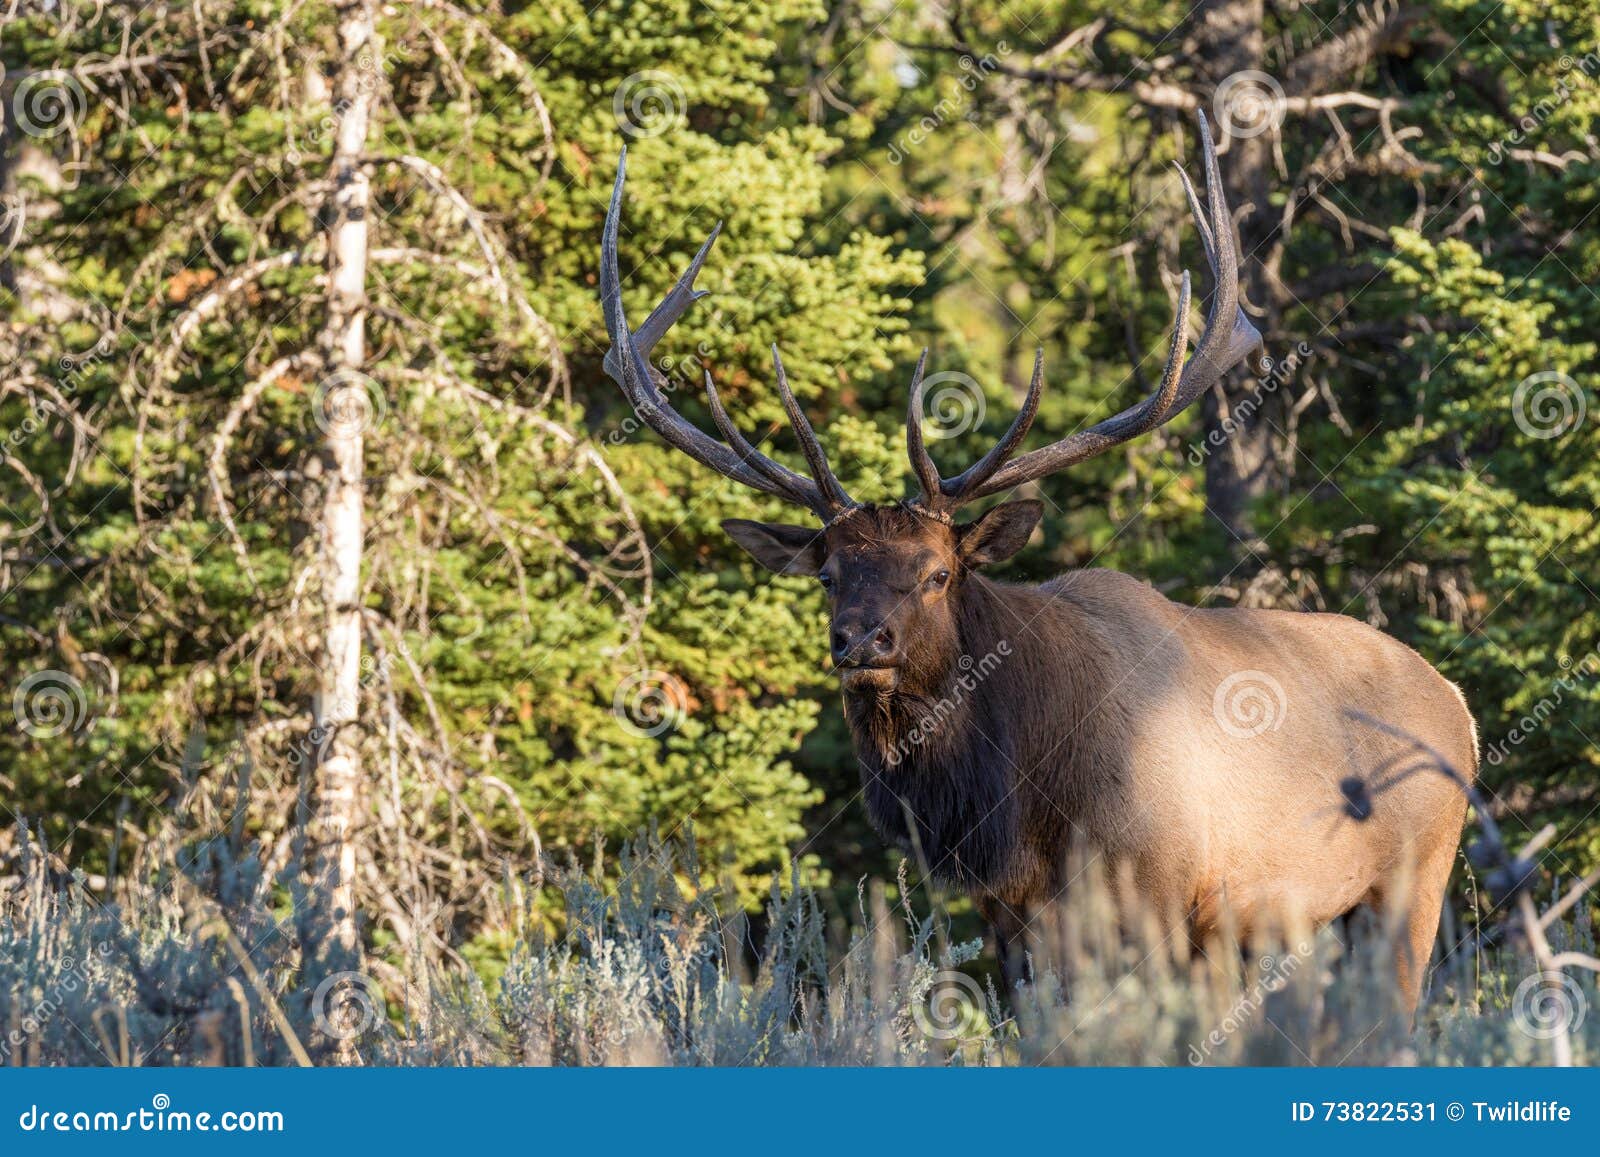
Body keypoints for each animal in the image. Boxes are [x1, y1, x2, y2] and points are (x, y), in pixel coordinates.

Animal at [600, 114, 1476, 1014]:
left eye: (938, 572)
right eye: (829, 574)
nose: (861, 642)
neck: (1018, 802)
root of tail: (1460, 705)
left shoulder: (1165, 895)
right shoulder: (1011, 914)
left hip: (1414, 875)